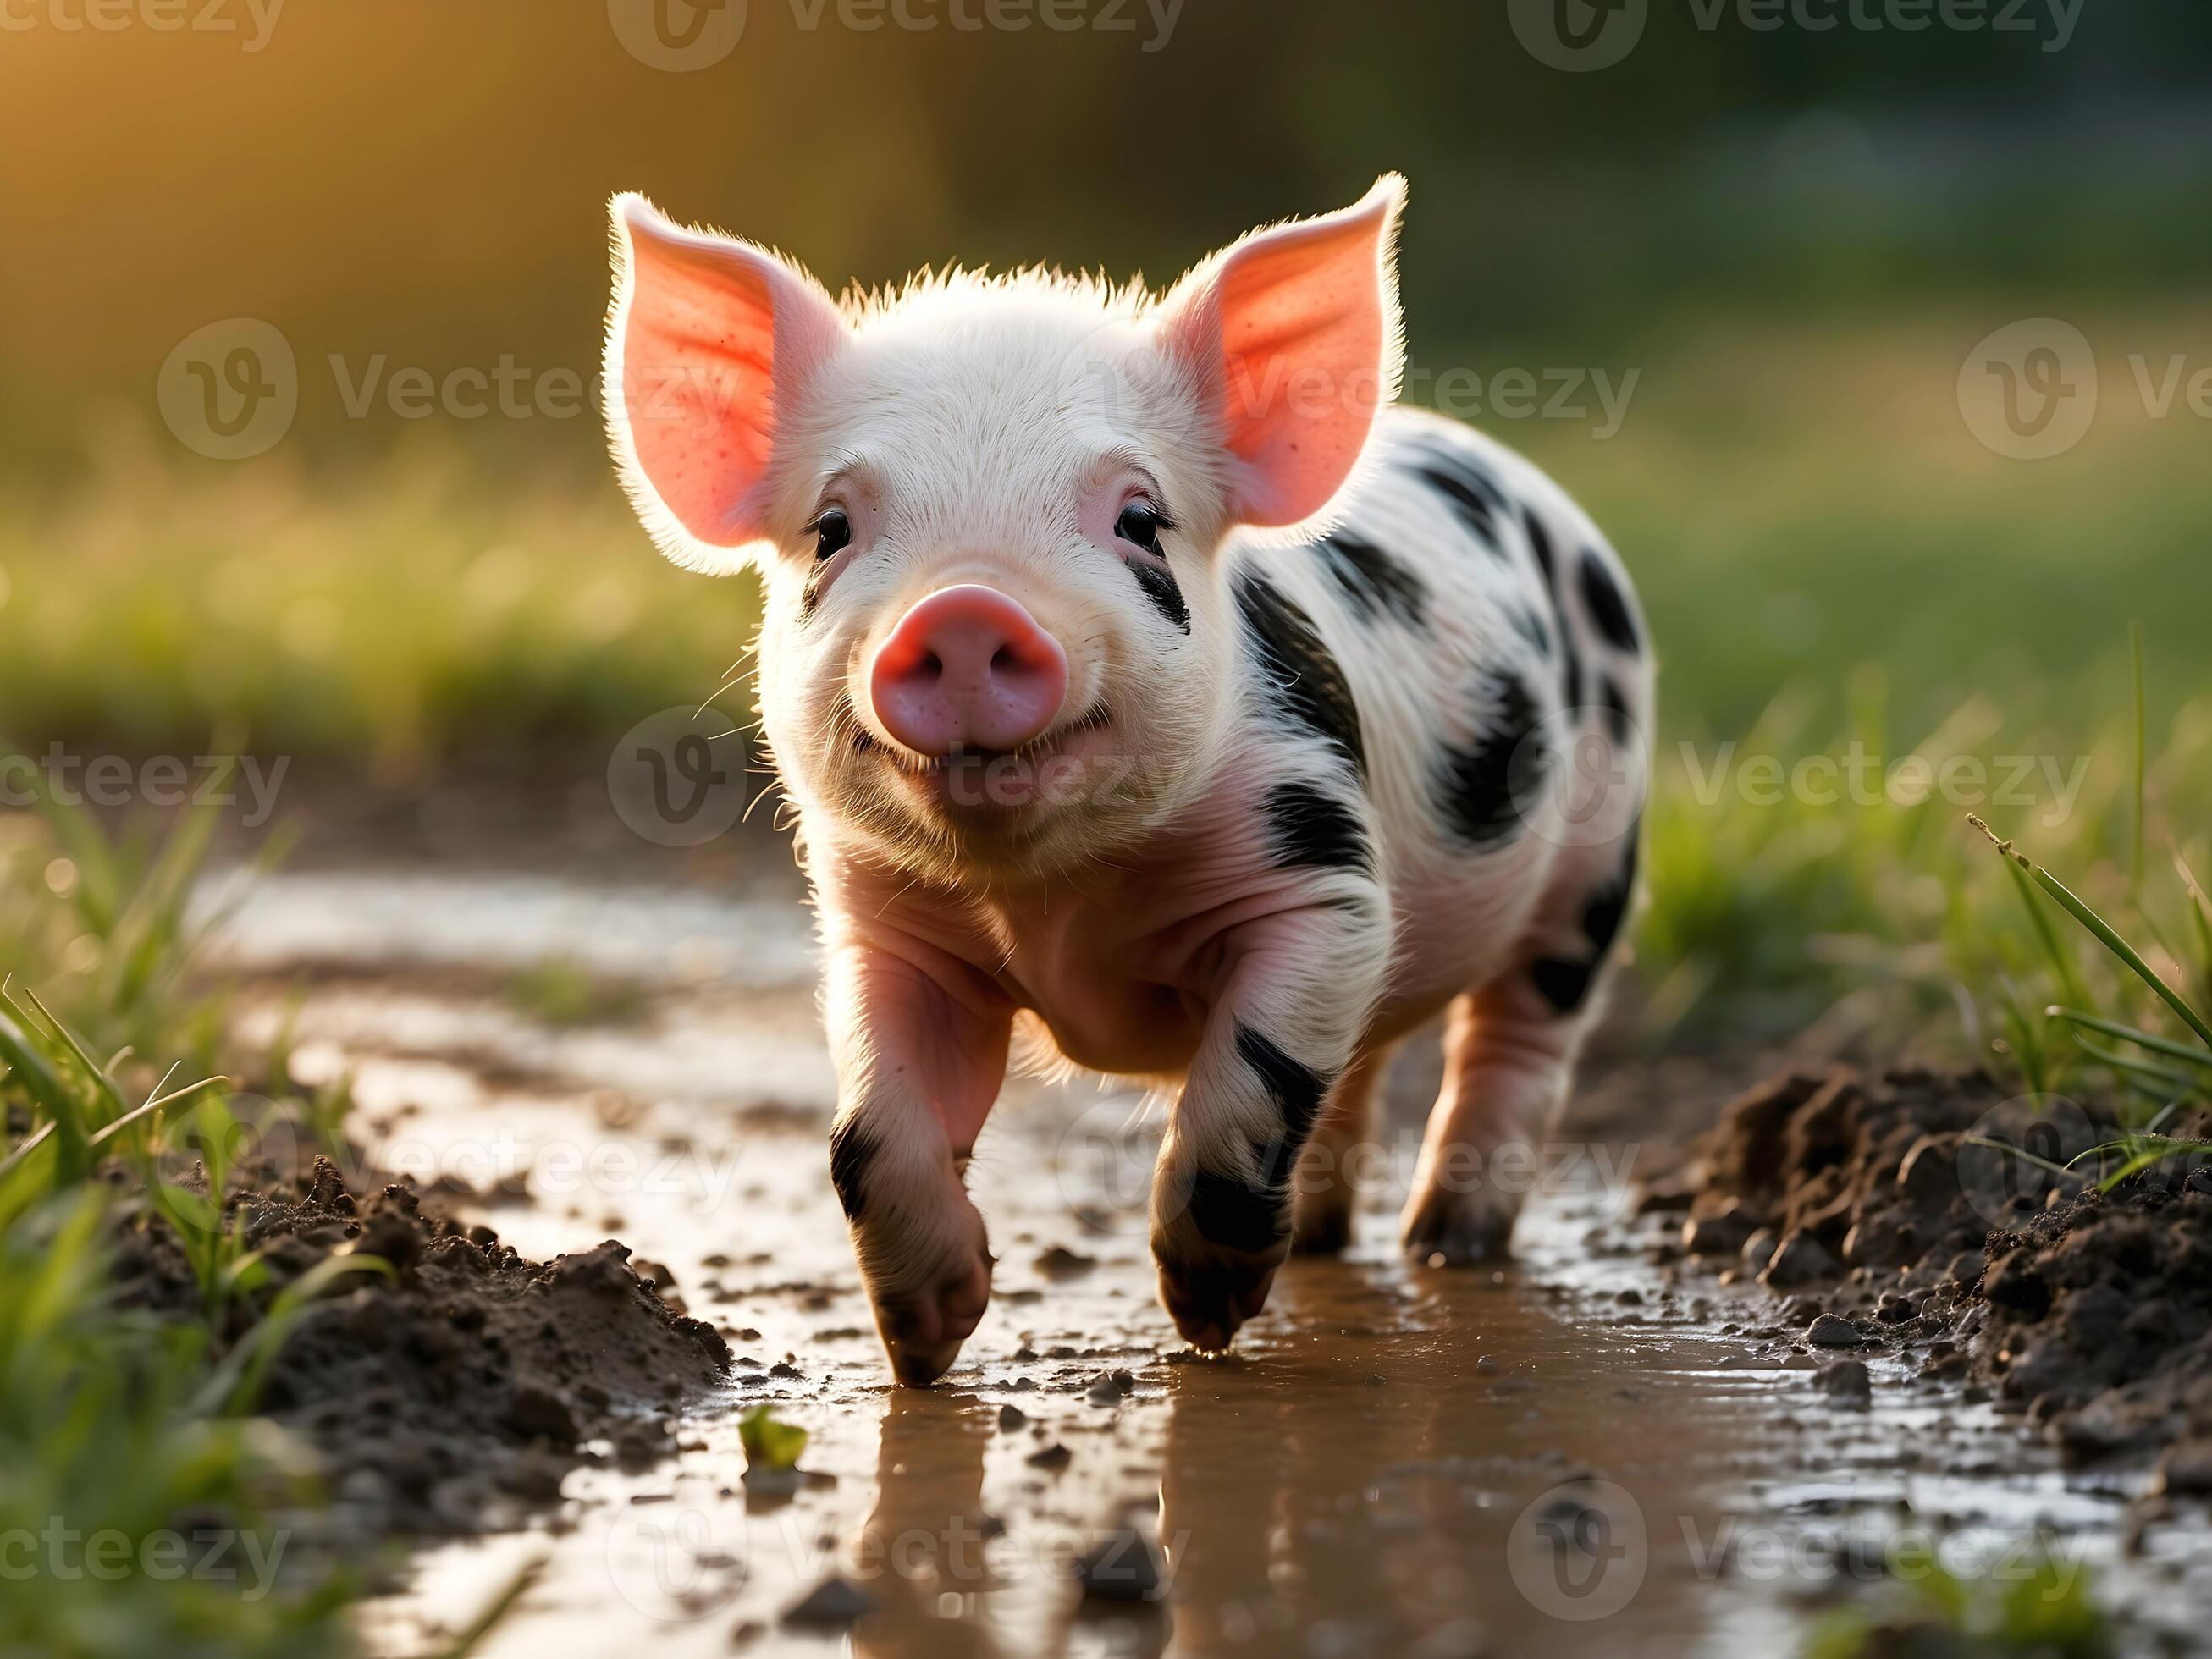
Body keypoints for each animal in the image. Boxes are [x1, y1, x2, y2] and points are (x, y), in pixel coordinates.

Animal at [601, 176, 1651, 1385]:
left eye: (1140, 520)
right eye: (831, 528)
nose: (964, 609)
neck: (1052, 903)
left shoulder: (1323, 881)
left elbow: (1253, 1080)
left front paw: (1207, 1320)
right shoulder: (882, 927)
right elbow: (870, 1131)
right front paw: (926, 1341)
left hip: (1598, 852)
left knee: (1517, 1042)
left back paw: (1449, 1246)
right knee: (1365, 1064)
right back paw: (1329, 1241)